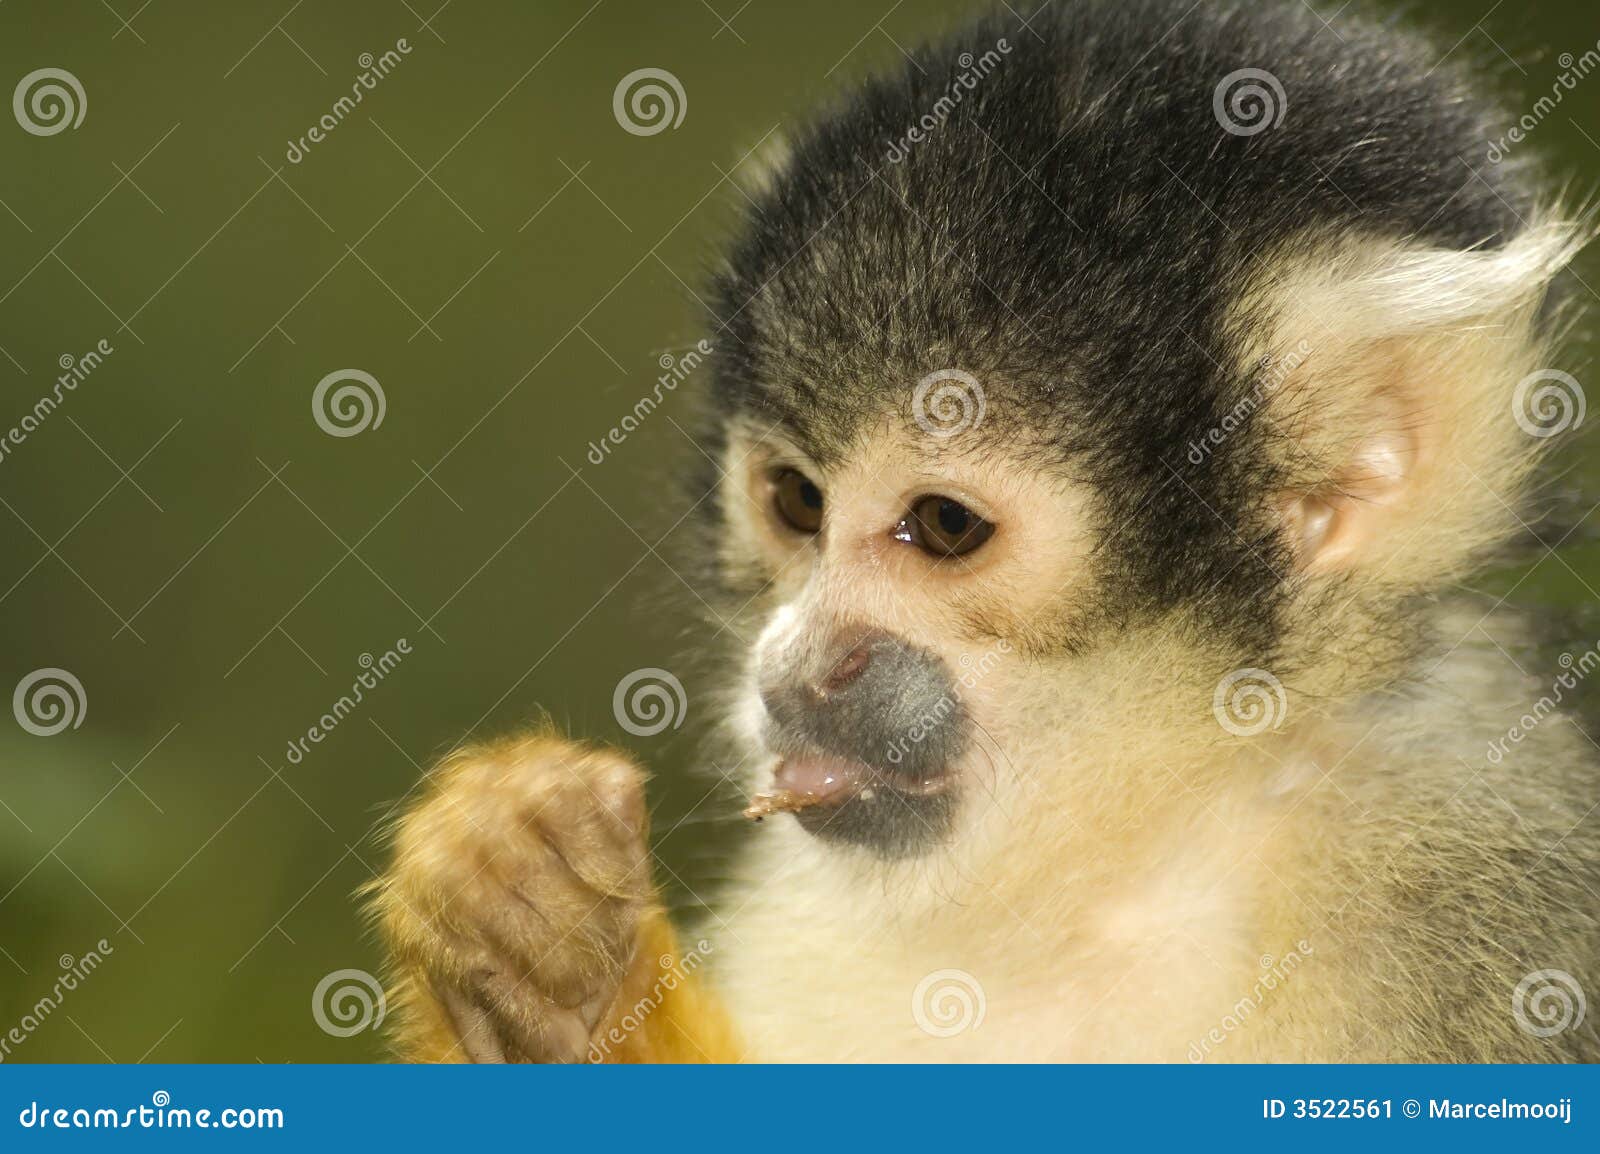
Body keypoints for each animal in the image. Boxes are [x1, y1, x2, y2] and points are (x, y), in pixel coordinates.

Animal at [367, 0, 1600, 1062]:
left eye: (944, 524)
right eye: (797, 501)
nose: (799, 666)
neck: (1127, 859)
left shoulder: (1467, 877)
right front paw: (540, 946)